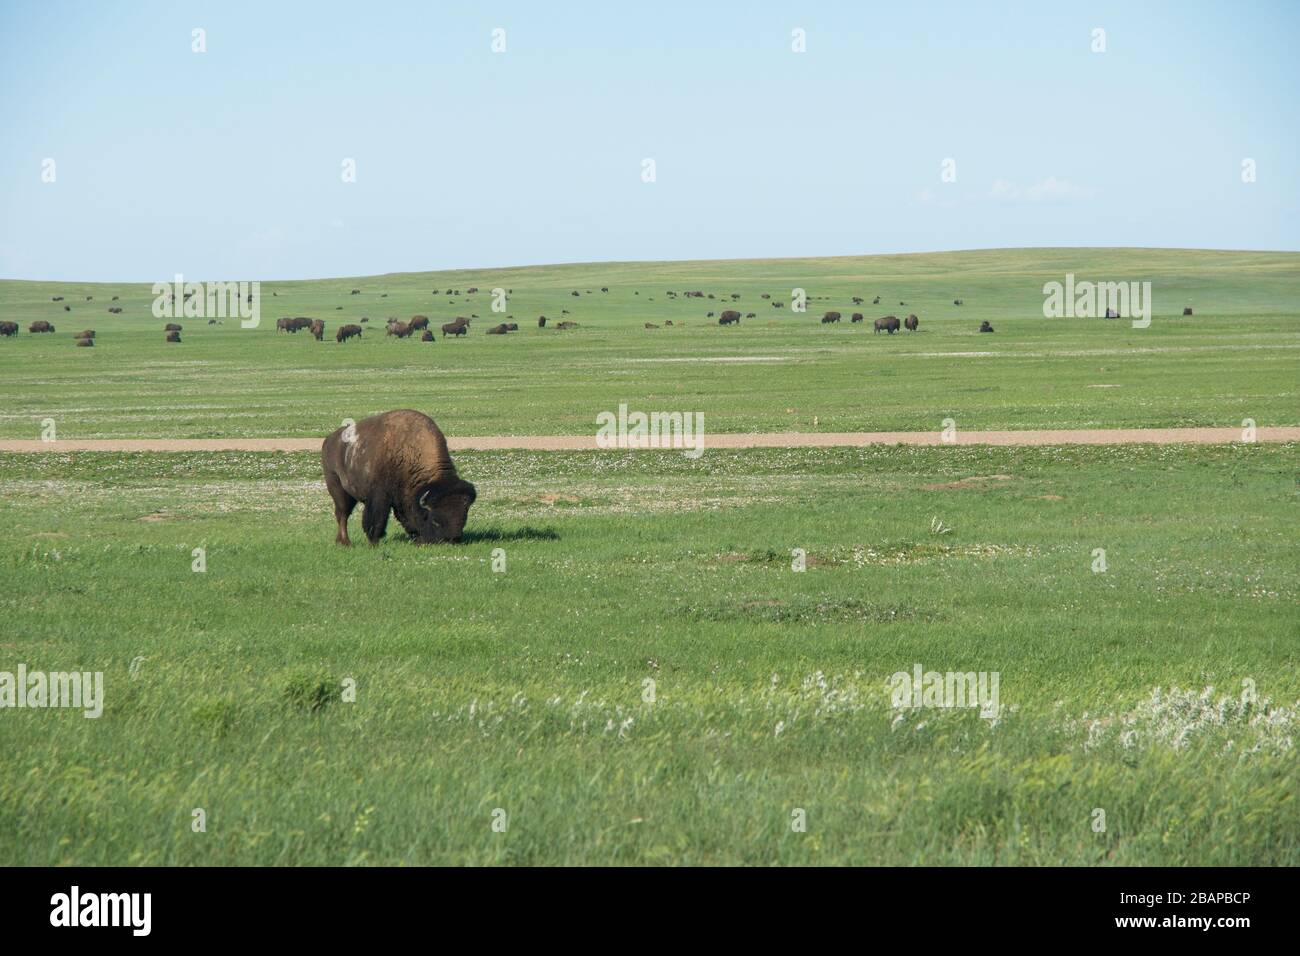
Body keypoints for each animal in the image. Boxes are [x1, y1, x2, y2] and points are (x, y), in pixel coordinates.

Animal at [321, 409, 477, 545]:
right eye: (435, 521)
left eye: (464, 516)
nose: (453, 539)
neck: (408, 451)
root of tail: (329, 440)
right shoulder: (379, 496)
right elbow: (376, 519)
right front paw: (374, 542)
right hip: (337, 488)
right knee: (342, 515)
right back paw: (345, 542)